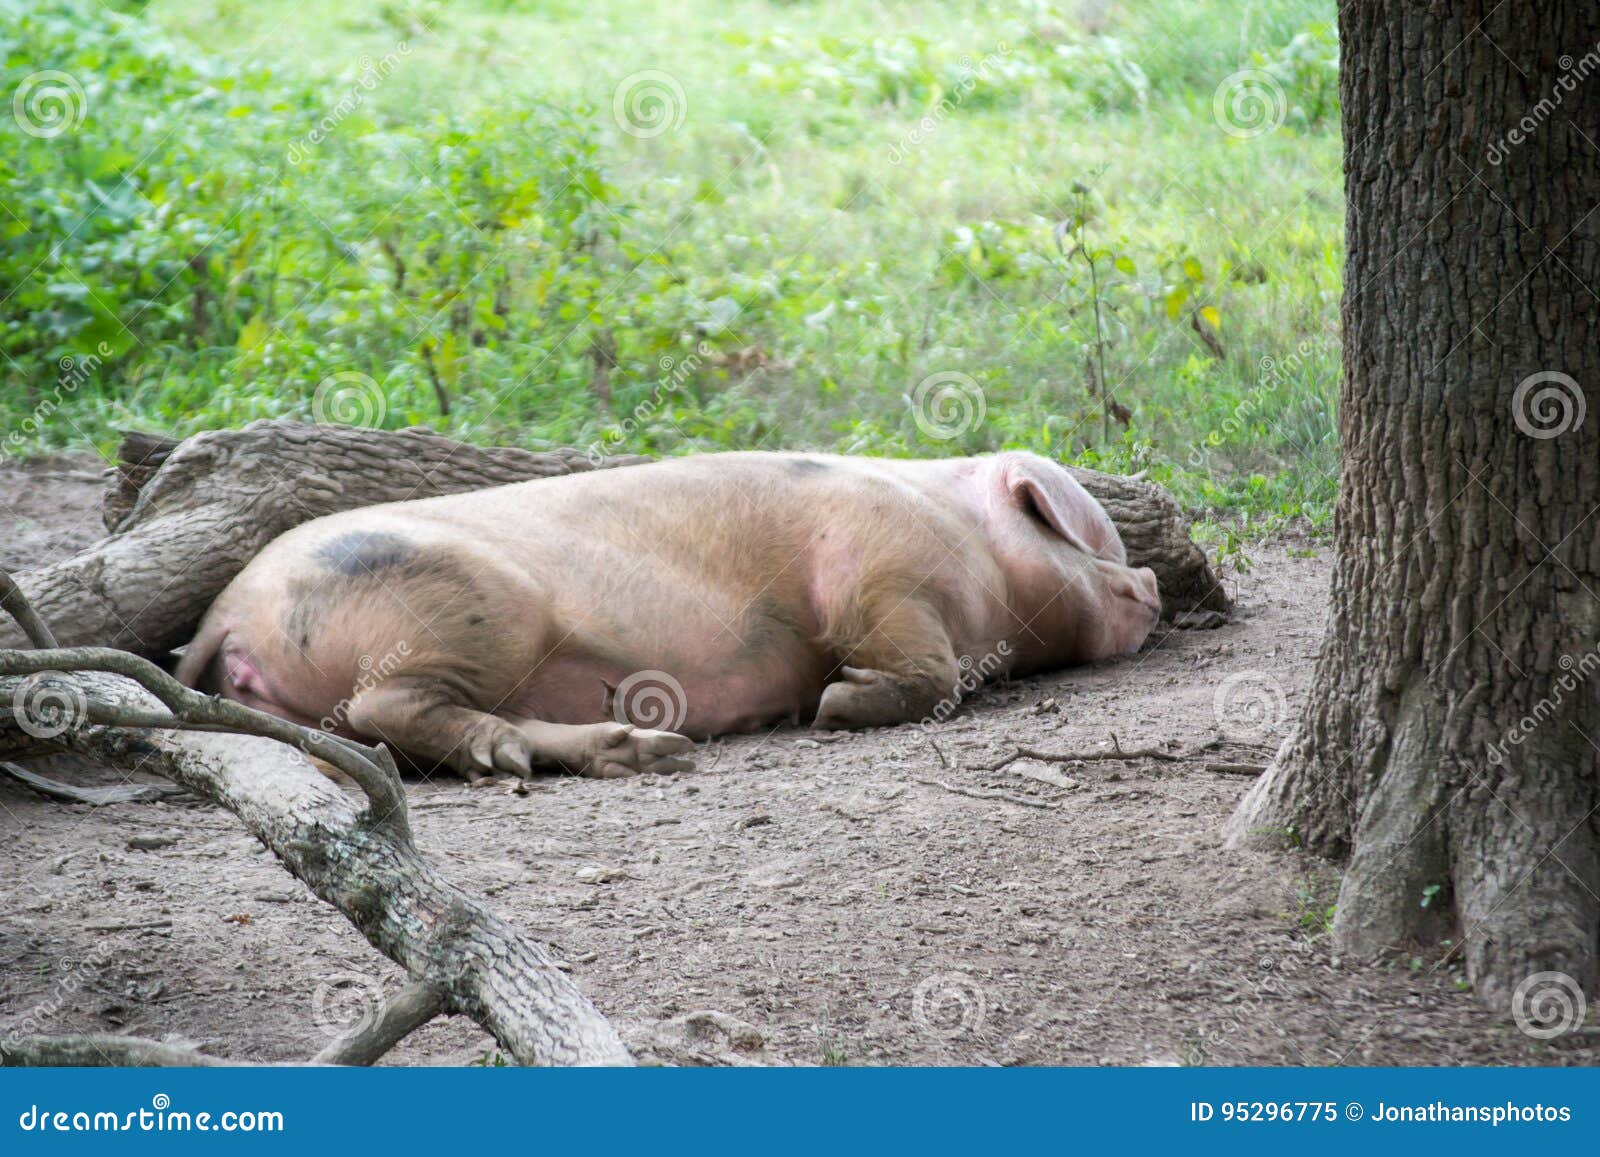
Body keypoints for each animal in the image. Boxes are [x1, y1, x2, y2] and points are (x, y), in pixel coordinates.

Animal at [176, 451, 1161, 780]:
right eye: (1088, 537)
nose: (1153, 583)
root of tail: (230, 610)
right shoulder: (881, 569)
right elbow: (923, 668)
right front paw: (830, 703)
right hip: (466, 609)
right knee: (394, 707)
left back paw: (650, 751)